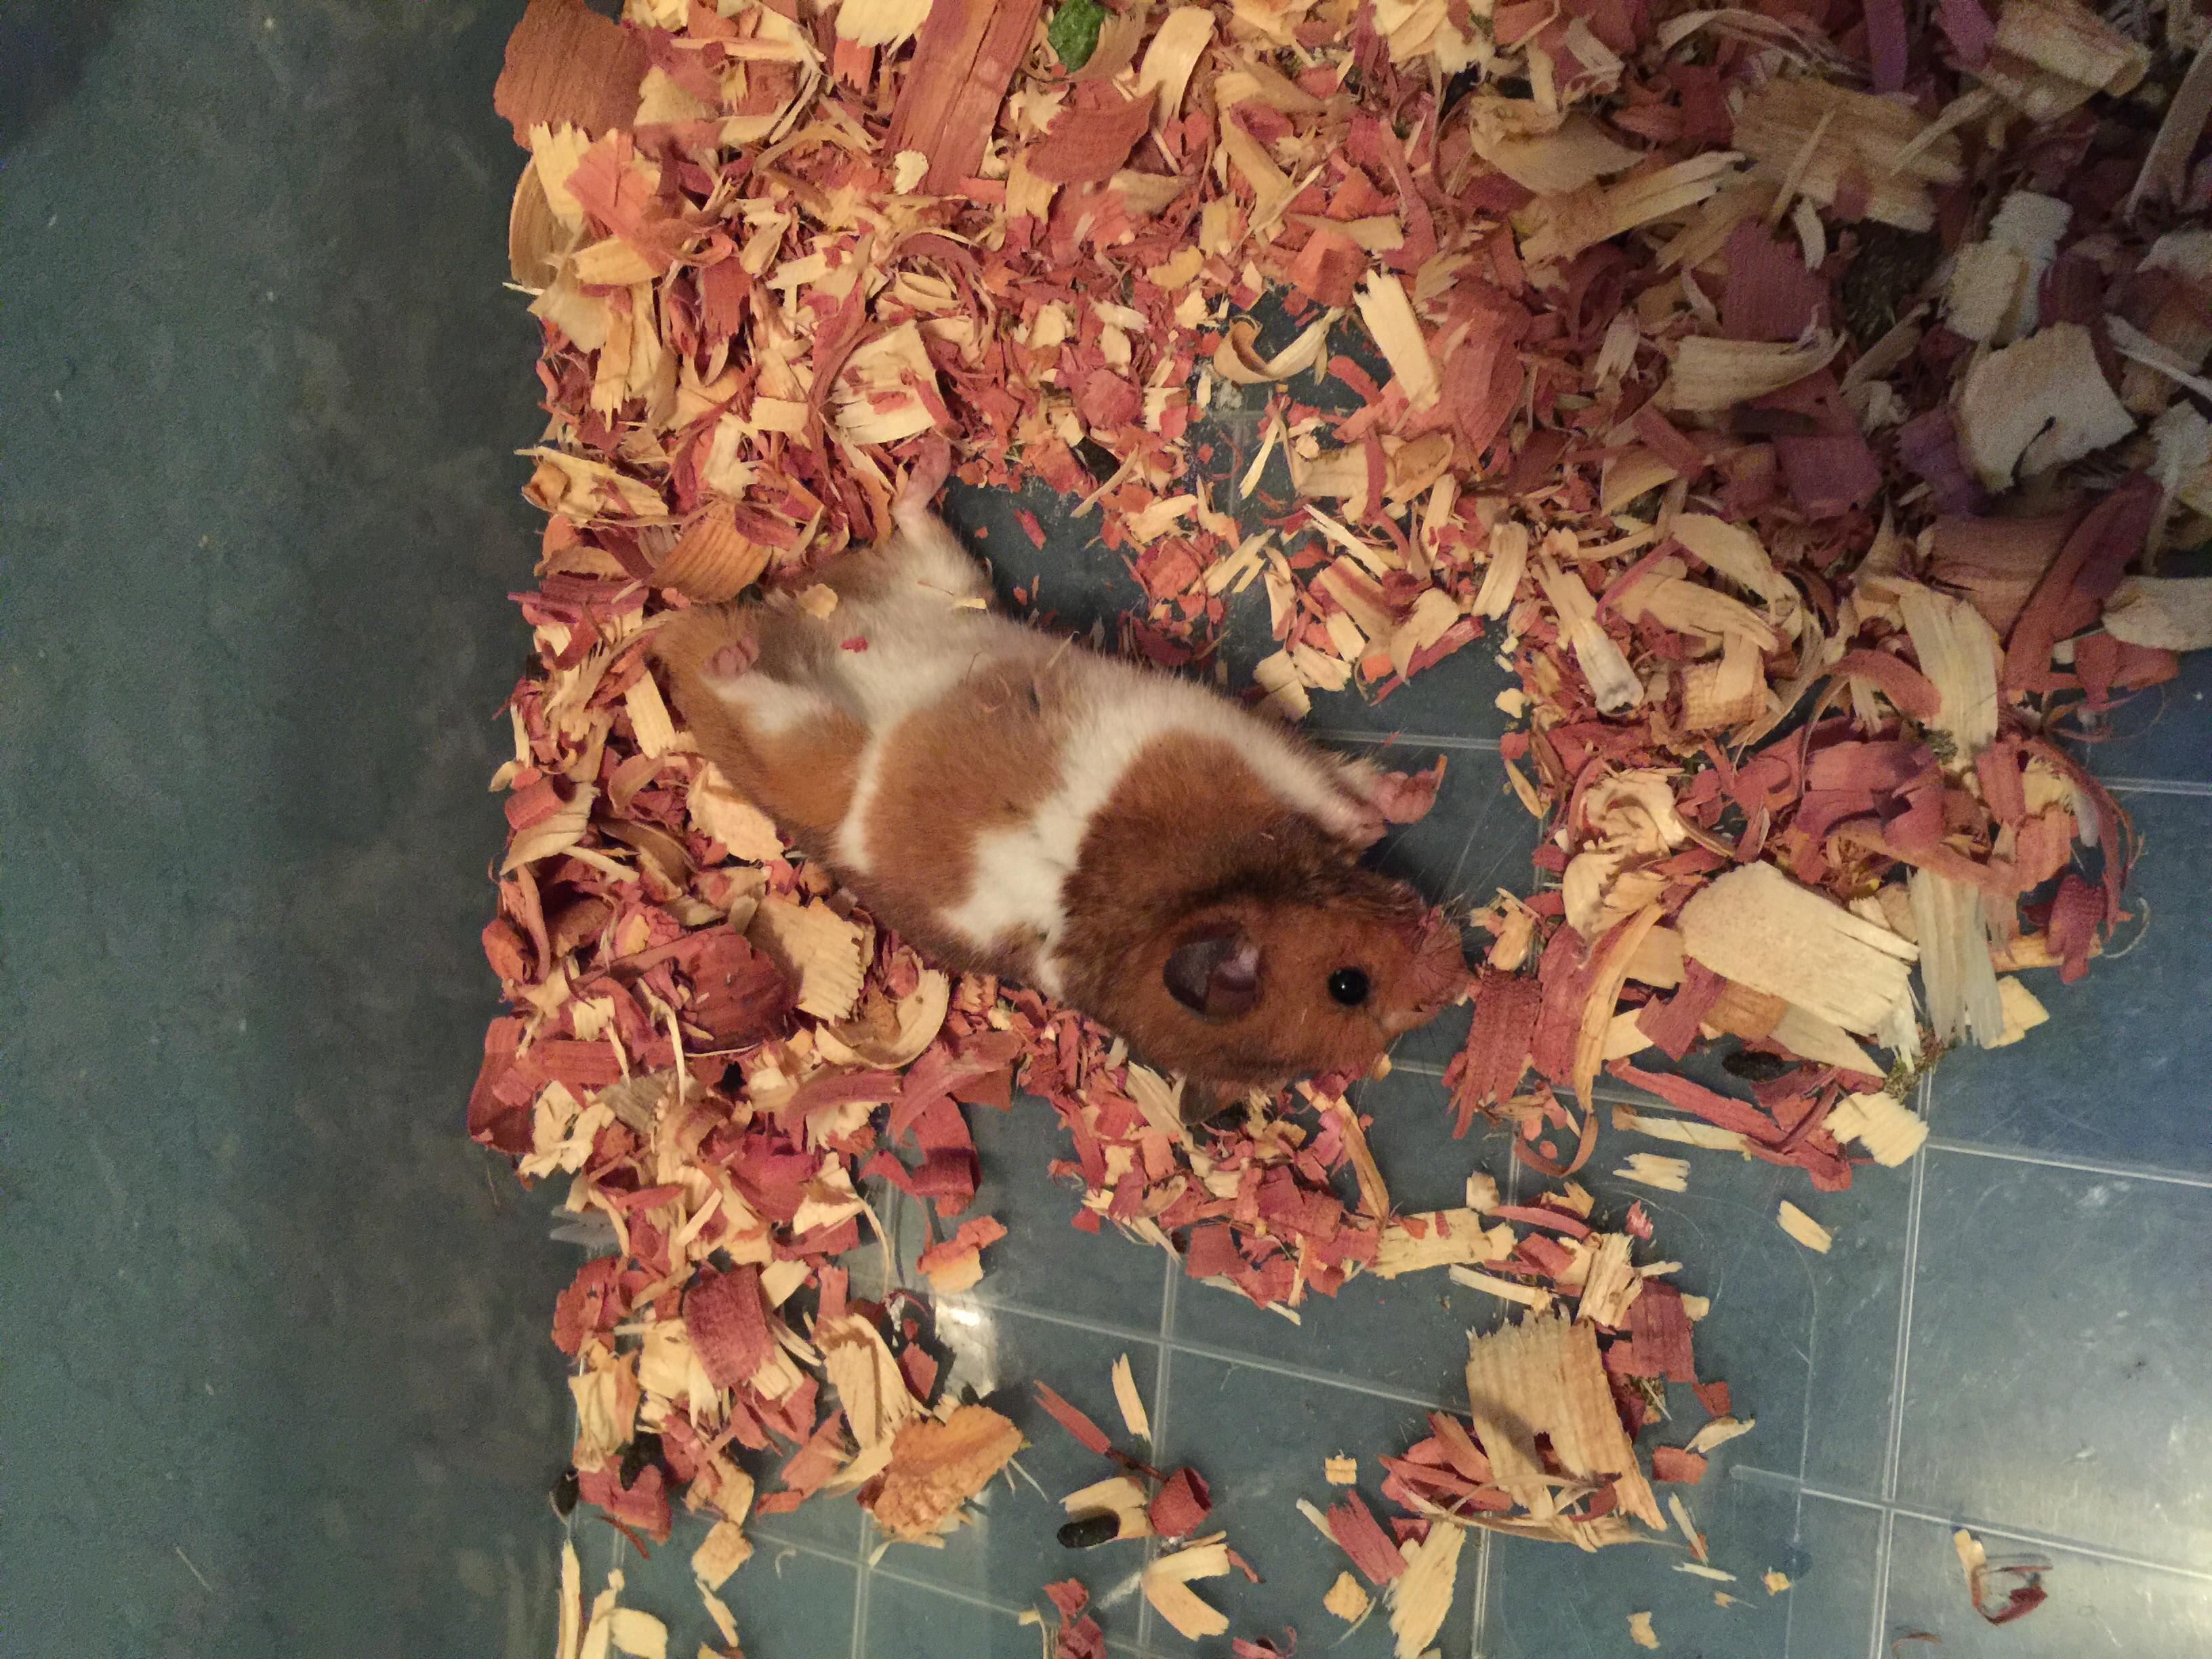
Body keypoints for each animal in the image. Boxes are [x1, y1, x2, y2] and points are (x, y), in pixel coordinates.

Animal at [653, 507, 1467, 1113]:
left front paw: (1412, 794)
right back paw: (725, 657)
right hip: (804, 739)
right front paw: (1392, 809)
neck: (1181, 899)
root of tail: (783, 605)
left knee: (916, 529)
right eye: (1349, 987)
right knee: (742, 687)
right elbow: (1323, 784)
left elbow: (1339, 777)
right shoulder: (1218, 738)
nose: (1462, 975)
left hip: (945, 581)